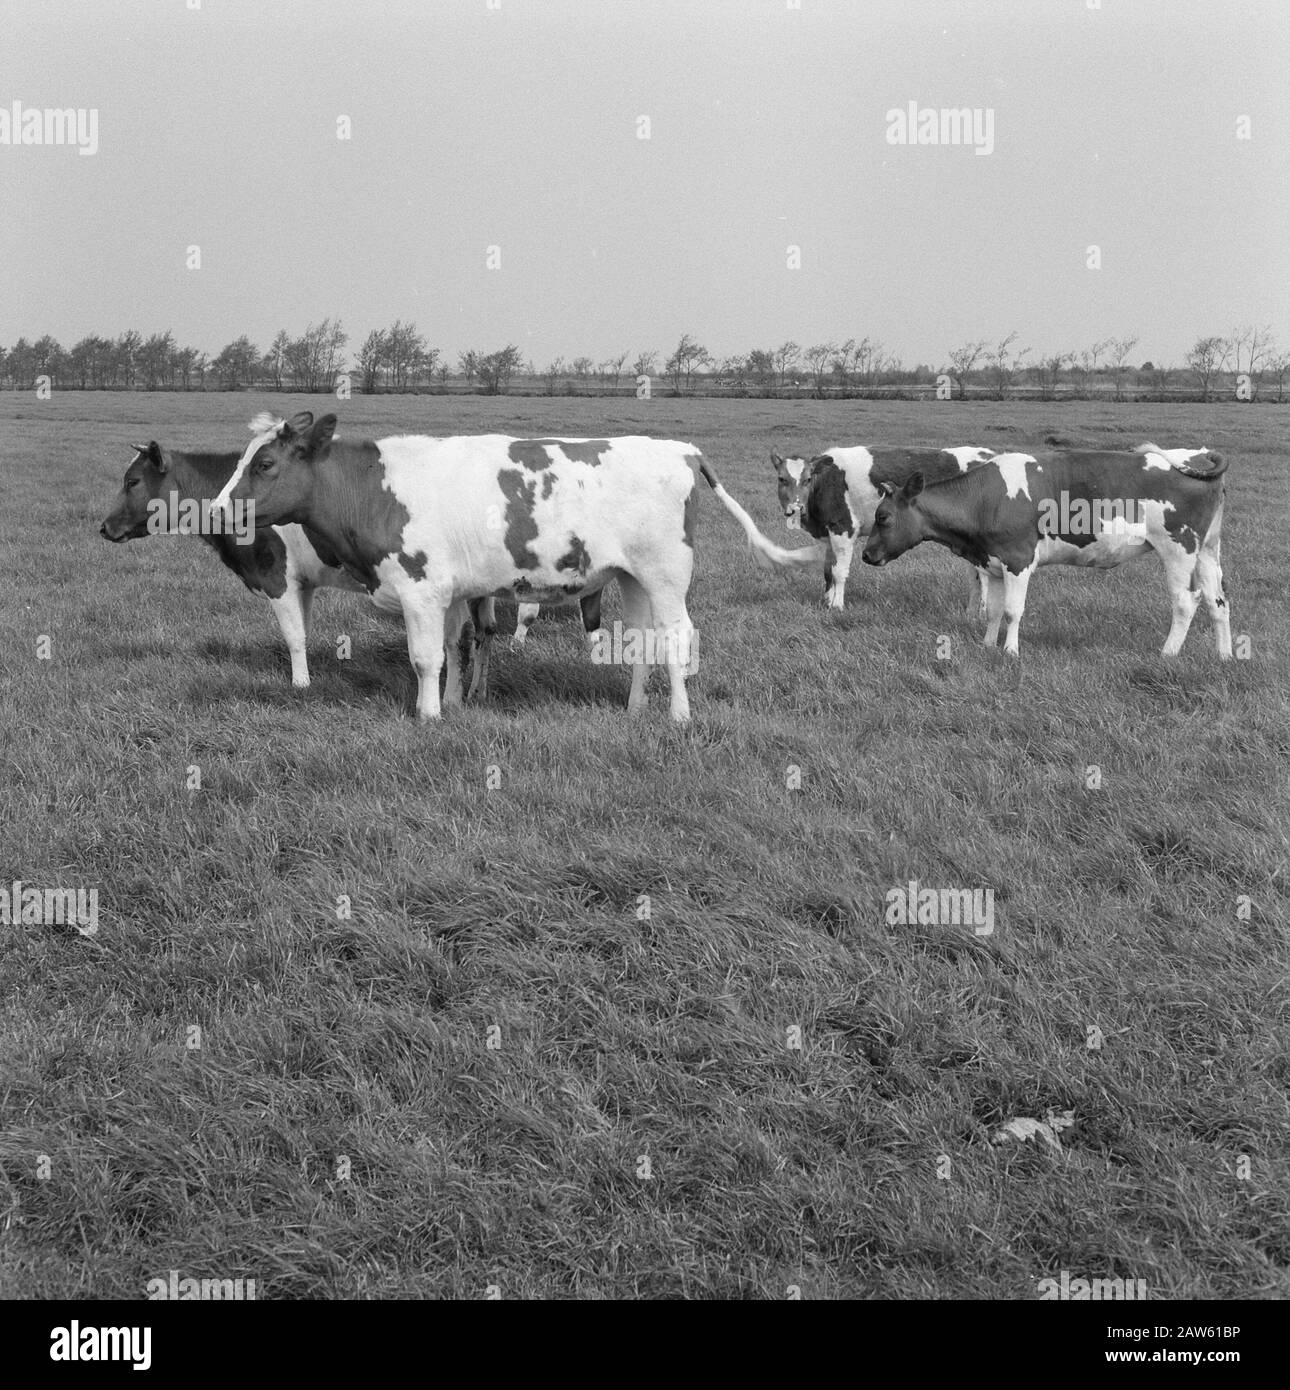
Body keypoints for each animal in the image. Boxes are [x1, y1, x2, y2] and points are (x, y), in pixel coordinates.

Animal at [211, 413, 822, 721]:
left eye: (265, 464)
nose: (216, 509)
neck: (375, 489)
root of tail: (679, 449)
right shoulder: (450, 591)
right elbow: (455, 646)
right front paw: (454, 703)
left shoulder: (420, 587)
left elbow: (425, 658)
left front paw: (428, 716)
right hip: (633, 578)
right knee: (642, 640)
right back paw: (633, 708)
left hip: (667, 575)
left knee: (675, 637)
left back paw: (678, 715)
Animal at [771, 446, 995, 611]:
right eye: (781, 479)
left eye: (807, 479)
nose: (795, 508)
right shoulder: (827, 534)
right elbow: (827, 571)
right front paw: (827, 601)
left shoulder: (844, 527)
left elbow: (839, 571)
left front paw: (837, 606)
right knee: (976, 576)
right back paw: (972, 611)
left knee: (984, 576)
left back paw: (982, 611)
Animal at [860, 443, 1231, 658]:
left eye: (883, 517)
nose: (866, 555)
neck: (984, 499)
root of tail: (1197, 454)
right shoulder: (994, 561)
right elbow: (994, 611)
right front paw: (987, 645)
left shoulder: (1018, 559)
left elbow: (1013, 611)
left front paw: (1010, 652)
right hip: (1207, 549)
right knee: (1218, 601)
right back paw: (1225, 656)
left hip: (1179, 547)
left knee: (1186, 601)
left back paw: (1167, 654)